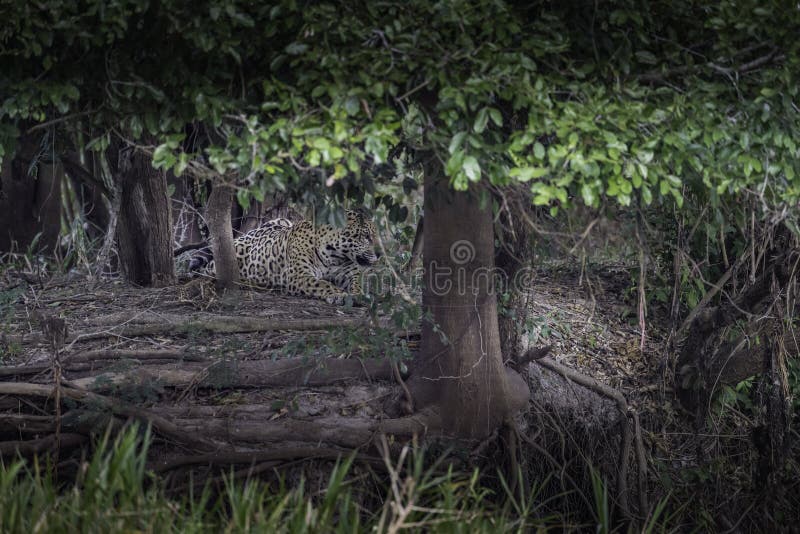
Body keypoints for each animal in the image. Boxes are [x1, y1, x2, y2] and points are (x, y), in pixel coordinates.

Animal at [197, 210, 380, 303]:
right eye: (366, 236)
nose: (379, 253)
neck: (335, 255)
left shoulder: (348, 274)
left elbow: (357, 283)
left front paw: (359, 294)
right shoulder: (300, 276)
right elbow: (322, 283)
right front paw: (339, 295)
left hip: (283, 220)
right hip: (232, 254)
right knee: (207, 269)